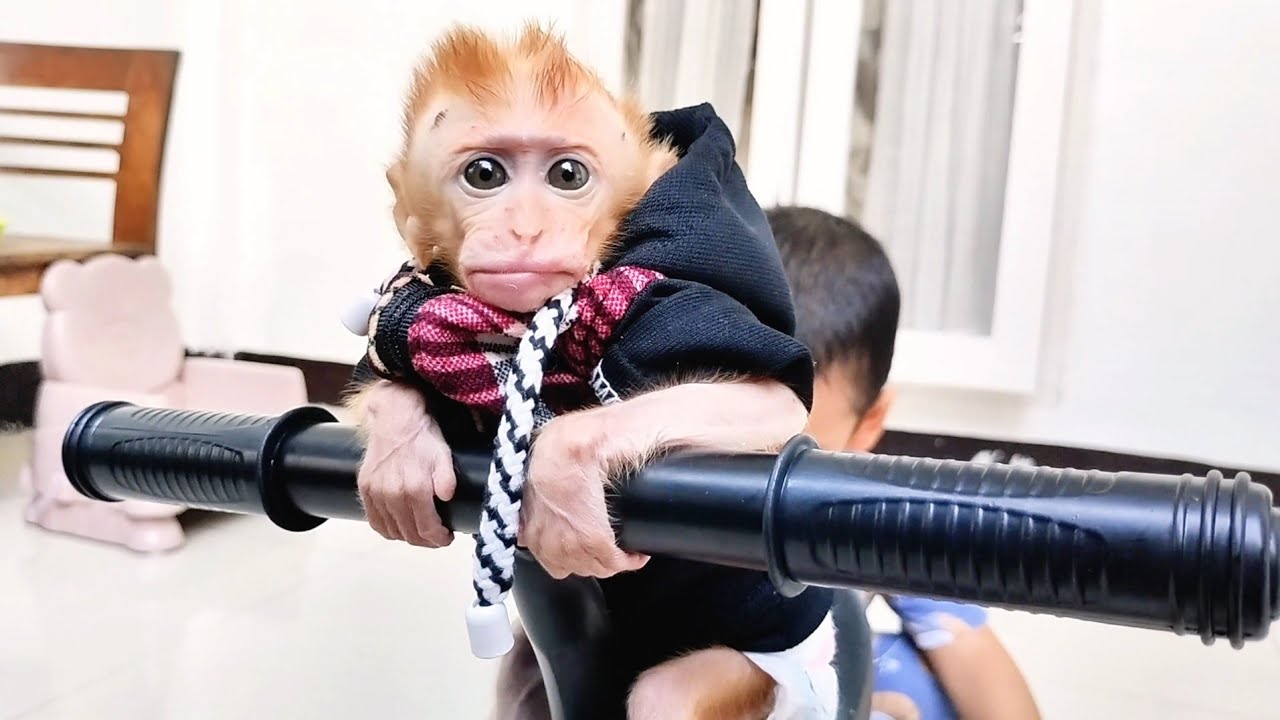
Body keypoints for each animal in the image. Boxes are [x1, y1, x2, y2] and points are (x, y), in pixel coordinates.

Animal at [344, 23, 839, 720]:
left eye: (567, 174)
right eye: (485, 174)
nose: (525, 229)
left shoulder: (672, 286)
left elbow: (772, 398)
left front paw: (562, 470)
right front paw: (400, 447)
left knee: (669, 694)